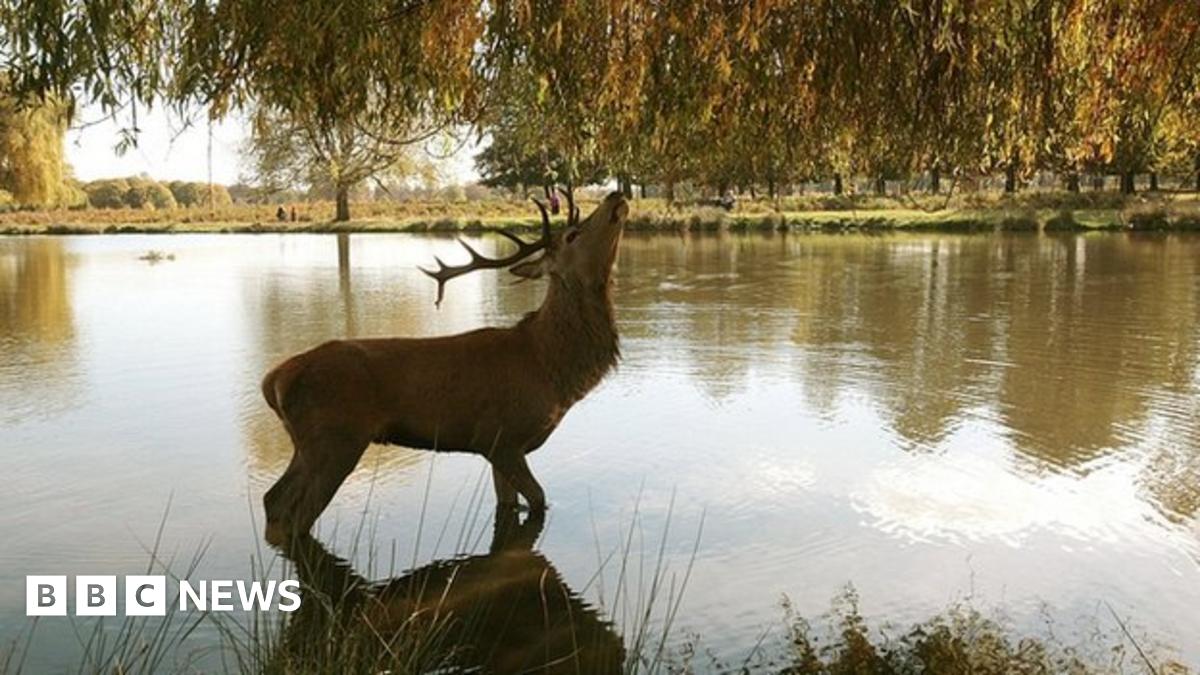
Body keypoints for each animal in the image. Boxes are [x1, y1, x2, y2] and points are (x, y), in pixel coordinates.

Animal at [261, 191, 629, 545]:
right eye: (572, 235)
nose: (615, 195)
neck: (548, 365)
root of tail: (274, 380)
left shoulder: (504, 450)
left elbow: (508, 505)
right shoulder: (499, 437)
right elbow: (538, 499)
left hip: (306, 444)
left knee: (272, 499)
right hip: (336, 439)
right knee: (298, 516)